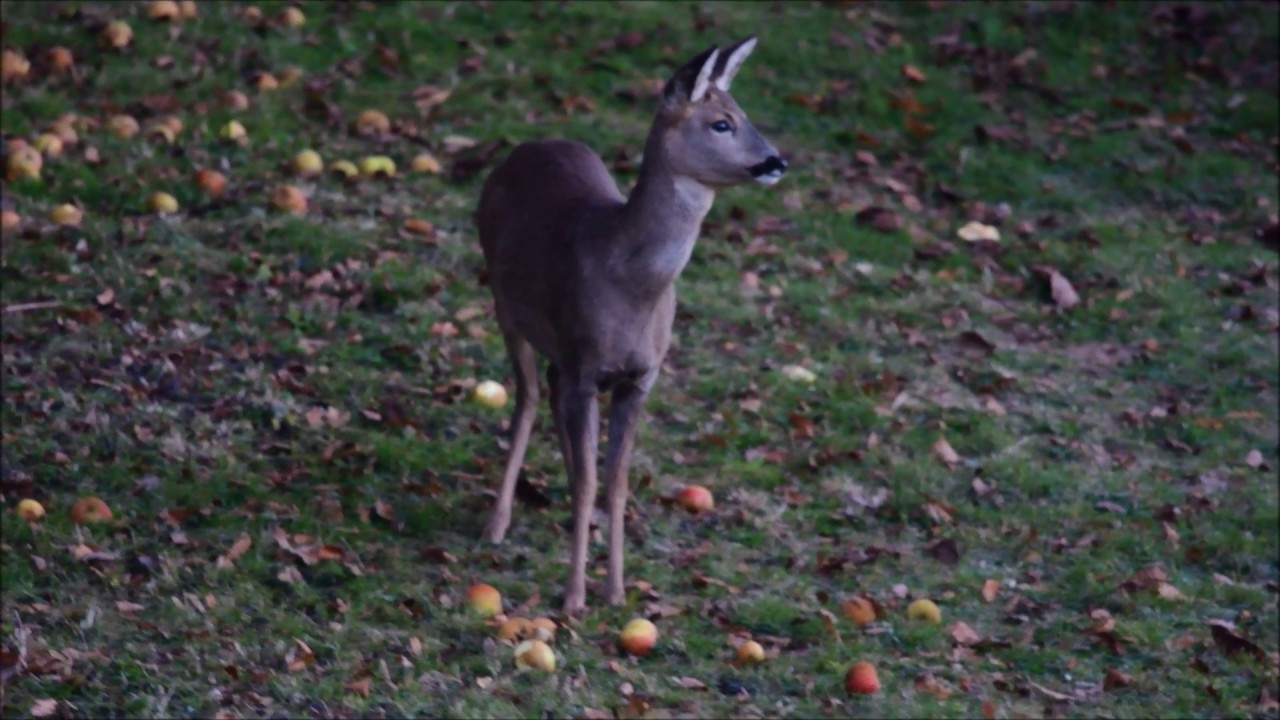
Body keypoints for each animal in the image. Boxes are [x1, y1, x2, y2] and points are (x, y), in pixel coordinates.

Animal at [474, 35, 788, 616]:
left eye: (743, 113)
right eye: (721, 123)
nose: (775, 161)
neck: (631, 282)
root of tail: (524, 148)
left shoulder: (639, 378)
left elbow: (614, 481)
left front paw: (616, 591)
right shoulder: (587, 367)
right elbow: (590, 478)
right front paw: (574, 597)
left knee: (549, 391)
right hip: (505, 304)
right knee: (527, 397)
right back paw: (496, 525)